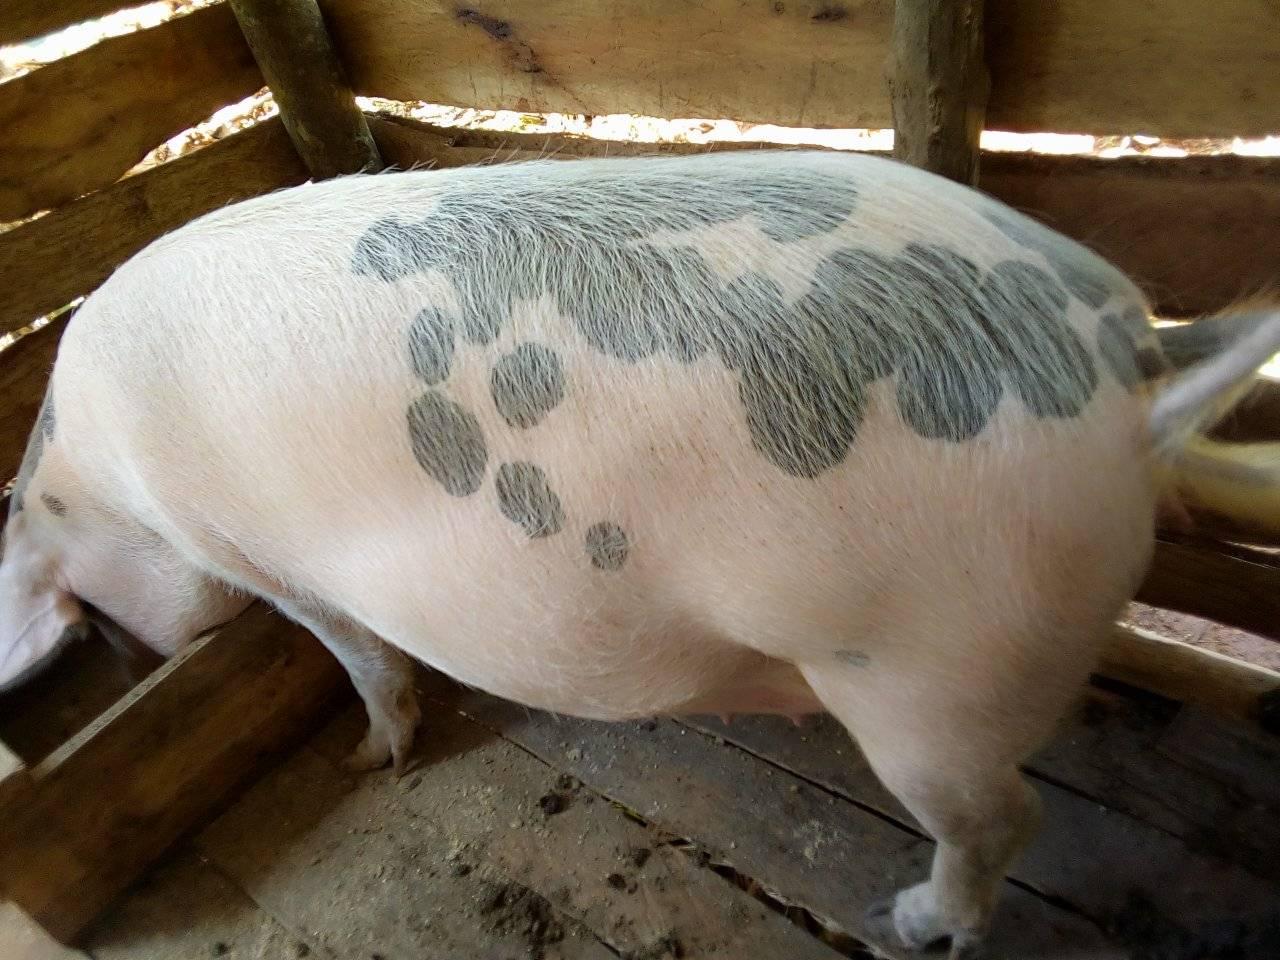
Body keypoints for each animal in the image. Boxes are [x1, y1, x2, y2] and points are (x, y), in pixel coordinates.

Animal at [3, 148, 1279, 958]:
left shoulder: (247, 549)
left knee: (999, 820)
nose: (119, 657)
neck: (96, 483)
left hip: (931, 671)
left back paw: (910, 927)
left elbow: (356, 655)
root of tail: (1129, 359)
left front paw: (372, 759)